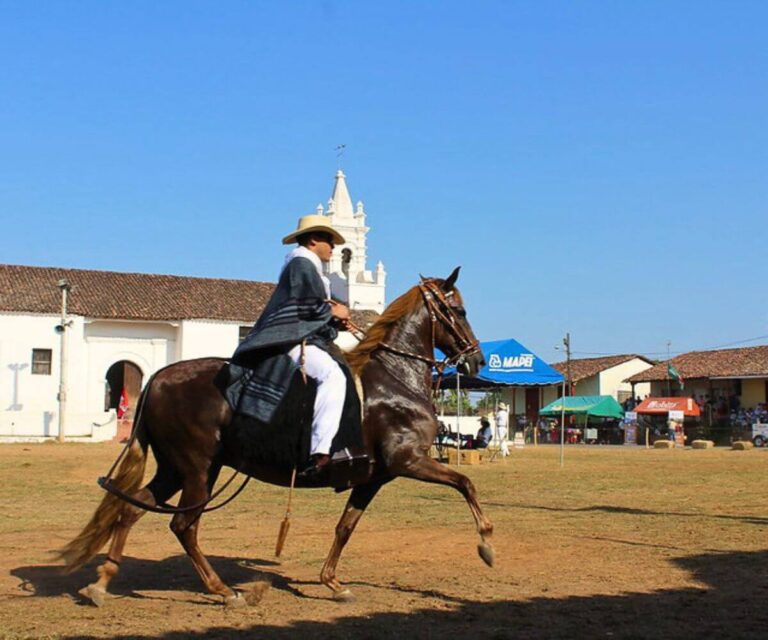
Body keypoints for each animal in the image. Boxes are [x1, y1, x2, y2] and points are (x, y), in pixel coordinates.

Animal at [60, 267, 493, 607]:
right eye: (459, 310)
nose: (476, 360)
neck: (394, 380)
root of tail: (158, 378)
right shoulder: (408, 461)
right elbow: (466, 483)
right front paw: (486, 543)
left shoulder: (375, 477)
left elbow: (345, 527)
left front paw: (332, 582)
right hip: (197, 469)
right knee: (183, 526)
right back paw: (223, 590)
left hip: (175, 469)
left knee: (132, 509)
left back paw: (102, 582)